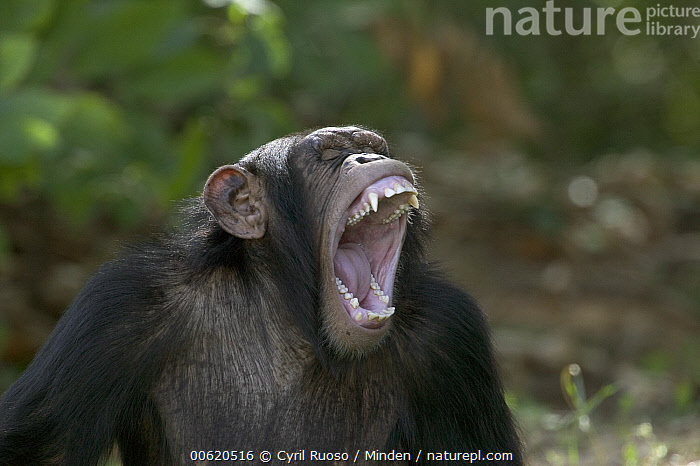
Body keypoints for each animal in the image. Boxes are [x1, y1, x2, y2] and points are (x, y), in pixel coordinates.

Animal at [0, 126, 522, 465]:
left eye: (372, 147)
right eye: (329, 154)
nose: (369, 159)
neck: (292, 327)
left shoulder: (450, 336)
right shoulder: (118, 306)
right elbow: (41, 451)